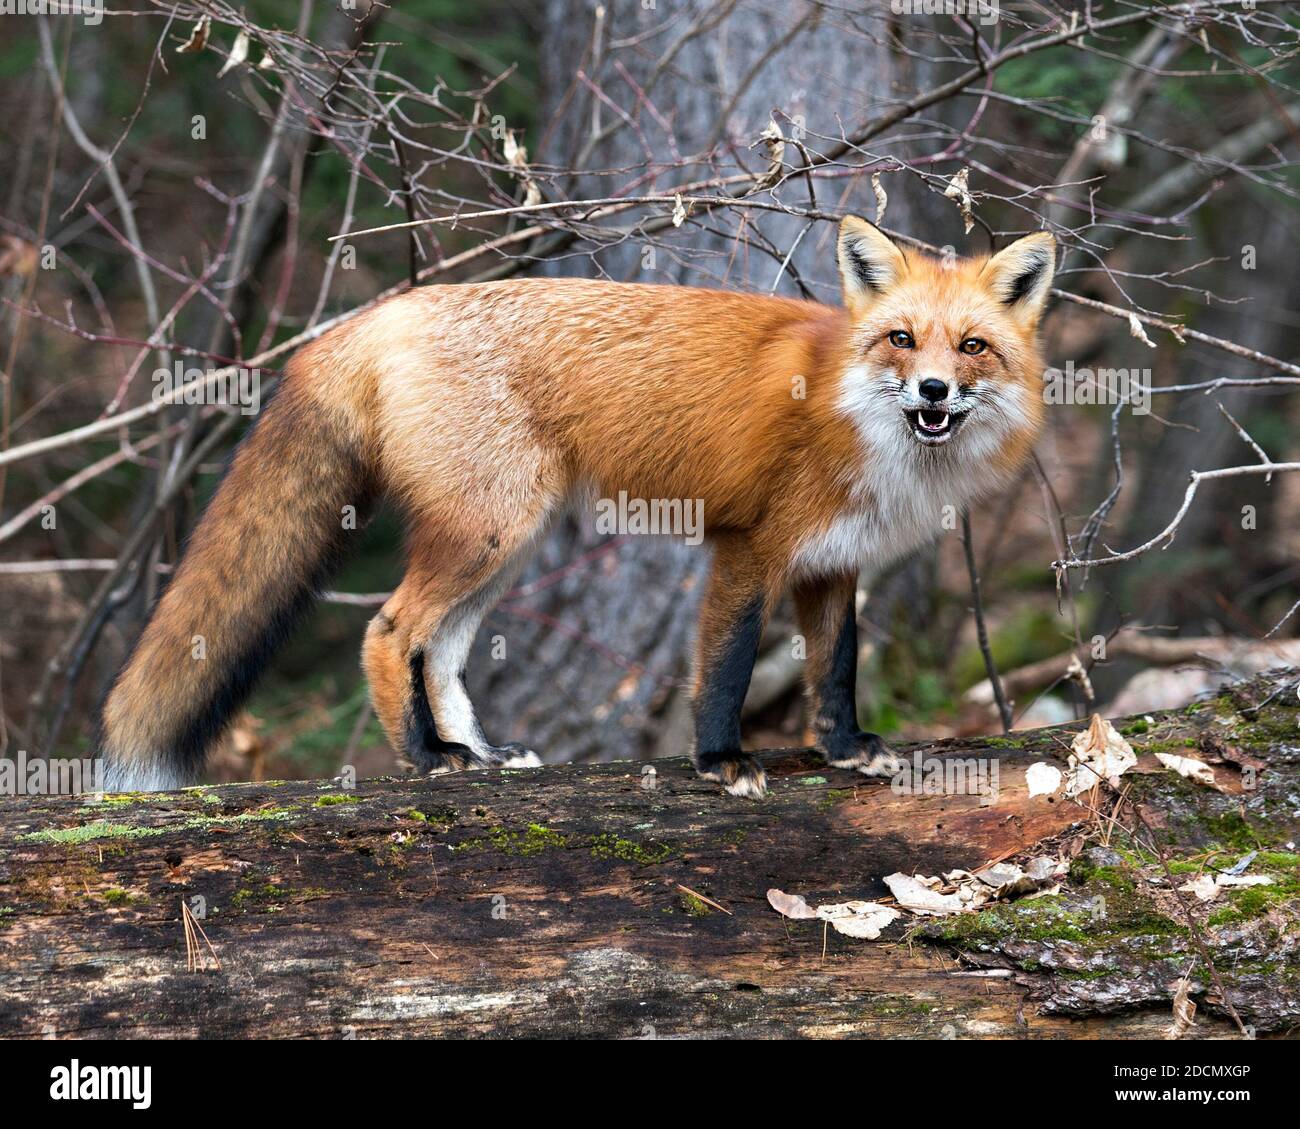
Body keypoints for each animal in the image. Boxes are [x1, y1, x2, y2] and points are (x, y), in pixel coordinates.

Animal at [99, 217, 1055, 798]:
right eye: (901, 339)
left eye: (972, 347)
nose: (932, 390)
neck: (850, 414)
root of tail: (377, 314)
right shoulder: (749, 548)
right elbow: (728, 666)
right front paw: (721, 760)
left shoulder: (832, 564)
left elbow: (839, 666)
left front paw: (849, 748)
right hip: (490, 530)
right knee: (391, 629)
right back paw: (427, 758)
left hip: (510, 539)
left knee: (443, 650)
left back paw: (482, 753)